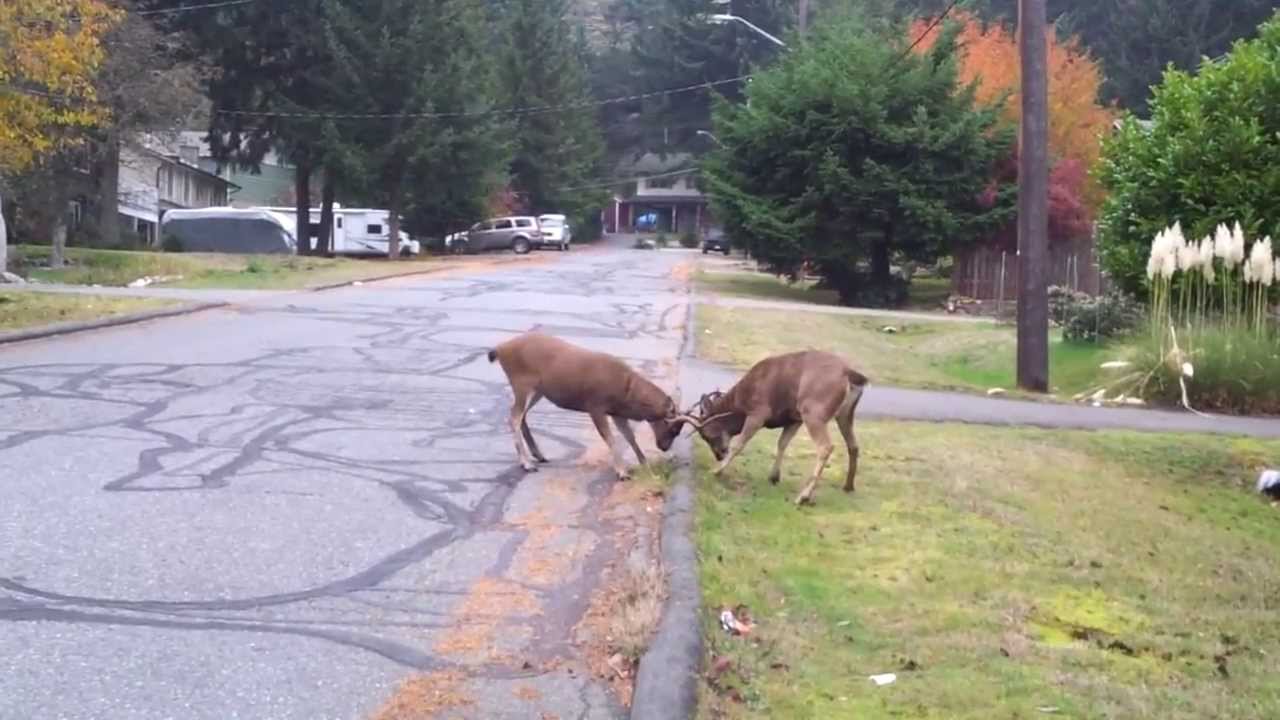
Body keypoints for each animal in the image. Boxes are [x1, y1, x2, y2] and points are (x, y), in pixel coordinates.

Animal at [487, 331, 707, 480]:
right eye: (673, 428)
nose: (663, 447)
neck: (626, 392)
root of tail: (500, 349)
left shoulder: (617, 412)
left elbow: (630, 436)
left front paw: (644, 464)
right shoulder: (596, 405)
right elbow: (610, 438)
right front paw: (622, 472)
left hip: (538, 390)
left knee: (521, 416)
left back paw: (539, 456)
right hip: (522, 383)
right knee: (514, 417)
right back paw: (527, 464)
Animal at [685, 350, 869, 506]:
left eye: (706, 435)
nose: (719, 455)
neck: (741, 402)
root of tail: (849, 373)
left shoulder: (759, 412)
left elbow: (739, 444)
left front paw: (717, 470)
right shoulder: (794, 419)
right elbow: (782, 443)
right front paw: (774, 477)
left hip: (814, 410)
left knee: (825, 447)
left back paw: (803, 496)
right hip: (844, 414)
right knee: (853, 445)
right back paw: (848, 486)